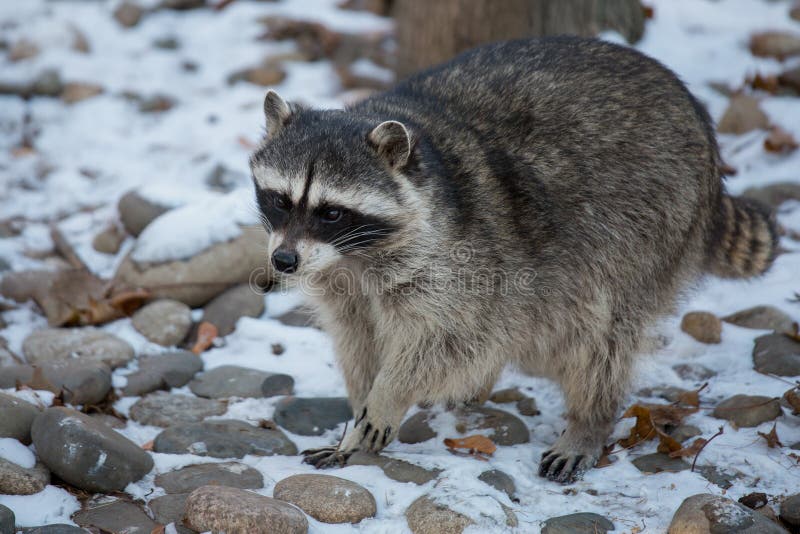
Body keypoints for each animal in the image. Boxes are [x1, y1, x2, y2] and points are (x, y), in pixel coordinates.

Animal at [249, 36, 778, 483]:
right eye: (280, 201)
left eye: (331, 212)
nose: (284, 262)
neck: (355, 254)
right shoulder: (342, 281)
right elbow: (358, 336)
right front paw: (359, 409)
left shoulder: (461, 257)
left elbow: (446, 339)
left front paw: (385, 398)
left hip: (652, 222)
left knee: (602, 336)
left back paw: (588, 421)